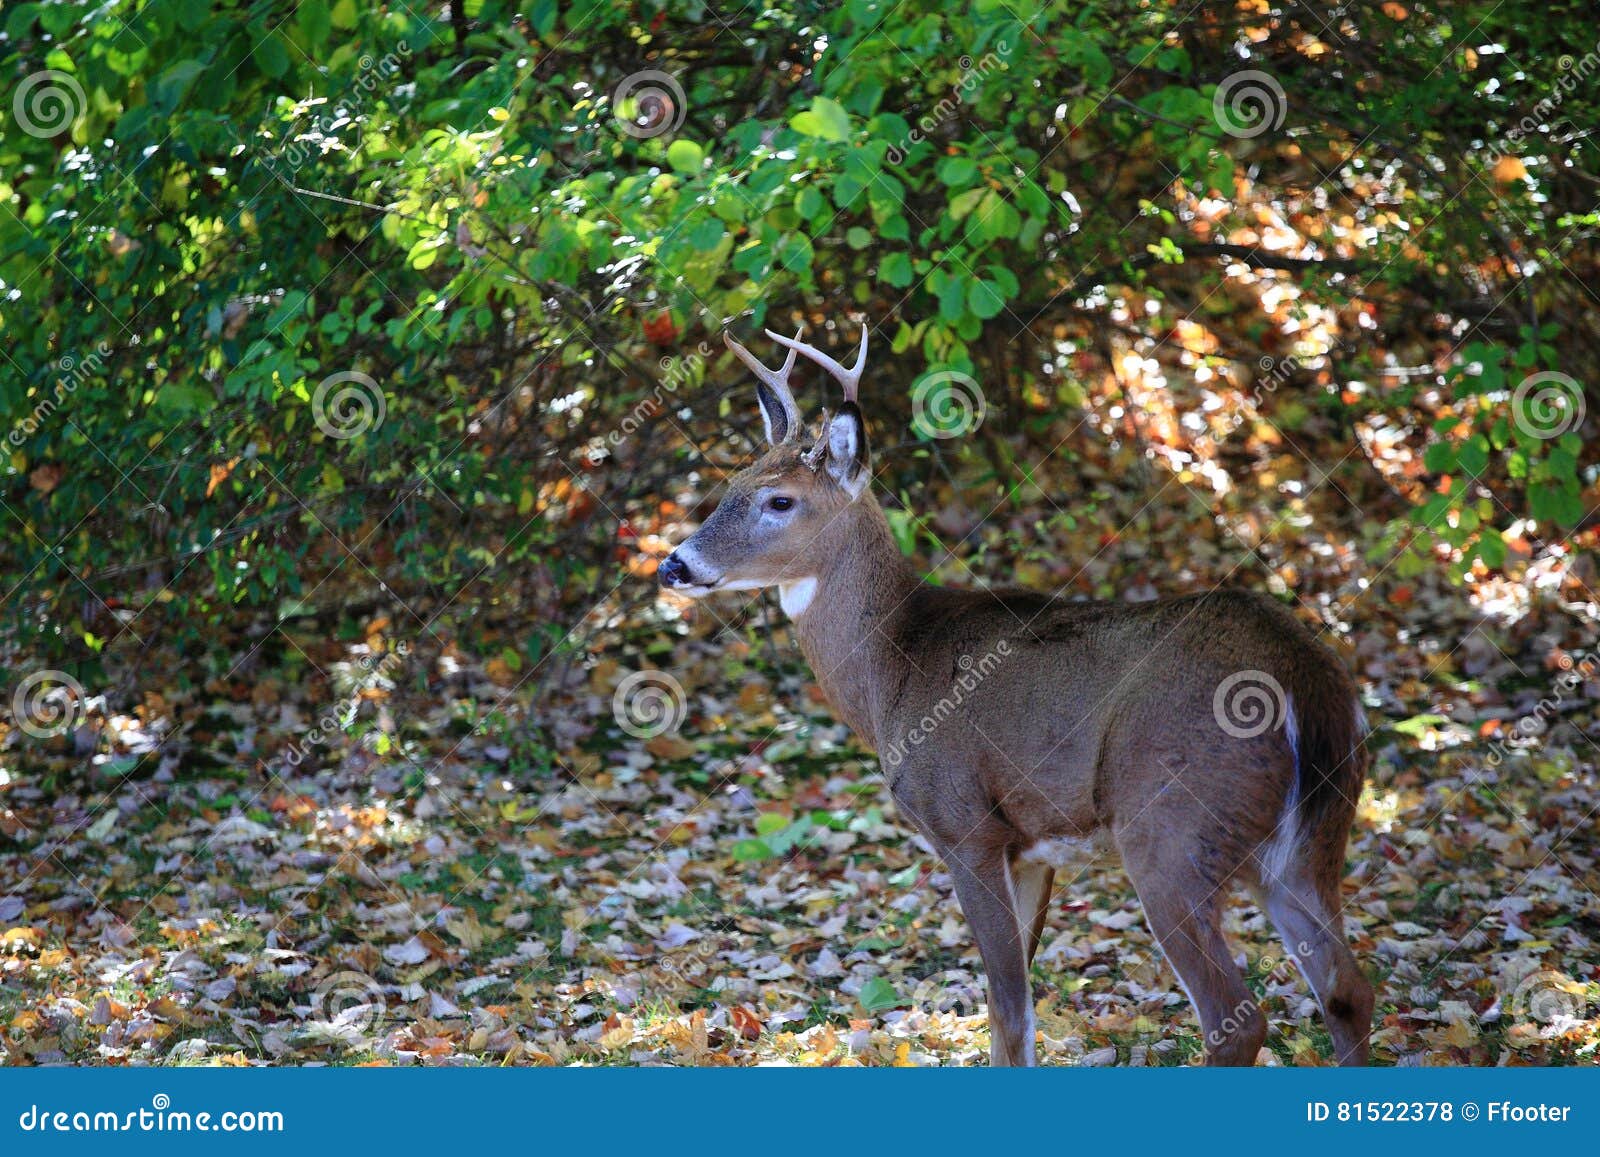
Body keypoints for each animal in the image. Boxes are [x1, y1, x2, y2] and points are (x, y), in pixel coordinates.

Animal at [657, 321, 1373, 1067]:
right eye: (732, 484)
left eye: (780, 501)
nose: (674, 564)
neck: (894, 670)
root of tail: (1305, 681)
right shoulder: (1029, 848)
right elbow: (1011, 1012)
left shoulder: (964, 823)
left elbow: (1007, 1011)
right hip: (1310, 841)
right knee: (1348, 990)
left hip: (1173, 828)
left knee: (1238, 1017)